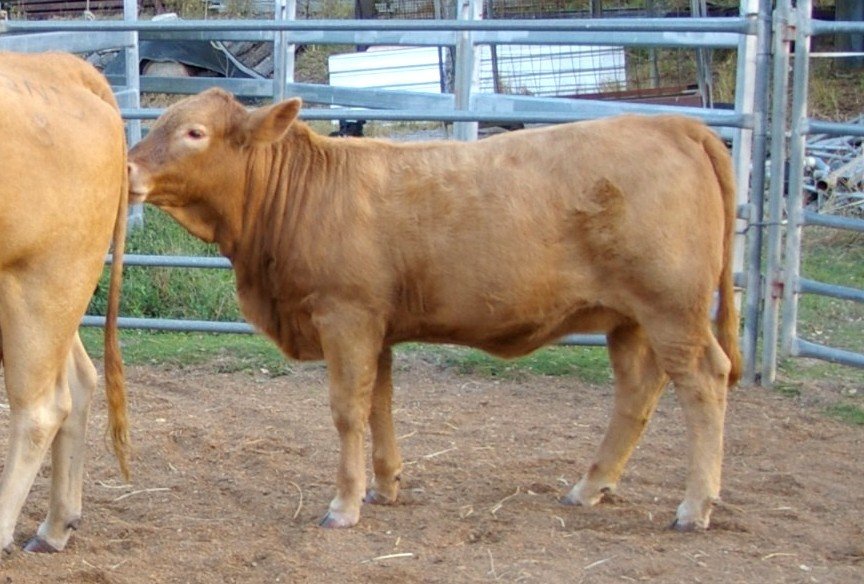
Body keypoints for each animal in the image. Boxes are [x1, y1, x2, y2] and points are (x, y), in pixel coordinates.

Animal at [0, 51, 130, 555]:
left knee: (40, 409)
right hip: (62, 291)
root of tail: (60, 63)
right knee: (80, 379)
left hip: (40, 281)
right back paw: (56, 526)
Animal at [127, 87, 741, 532]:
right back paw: (590, 488)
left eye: (194, 132)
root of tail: (671, 124)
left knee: (704, 380)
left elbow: (348, 411)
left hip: (671, 308)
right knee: (637, 393)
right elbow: (379, 405)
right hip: (630, 319)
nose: (127, 170)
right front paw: (384, 487)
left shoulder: (345, 317)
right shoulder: (377, 327)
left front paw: (343, 506)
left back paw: (694, 508)